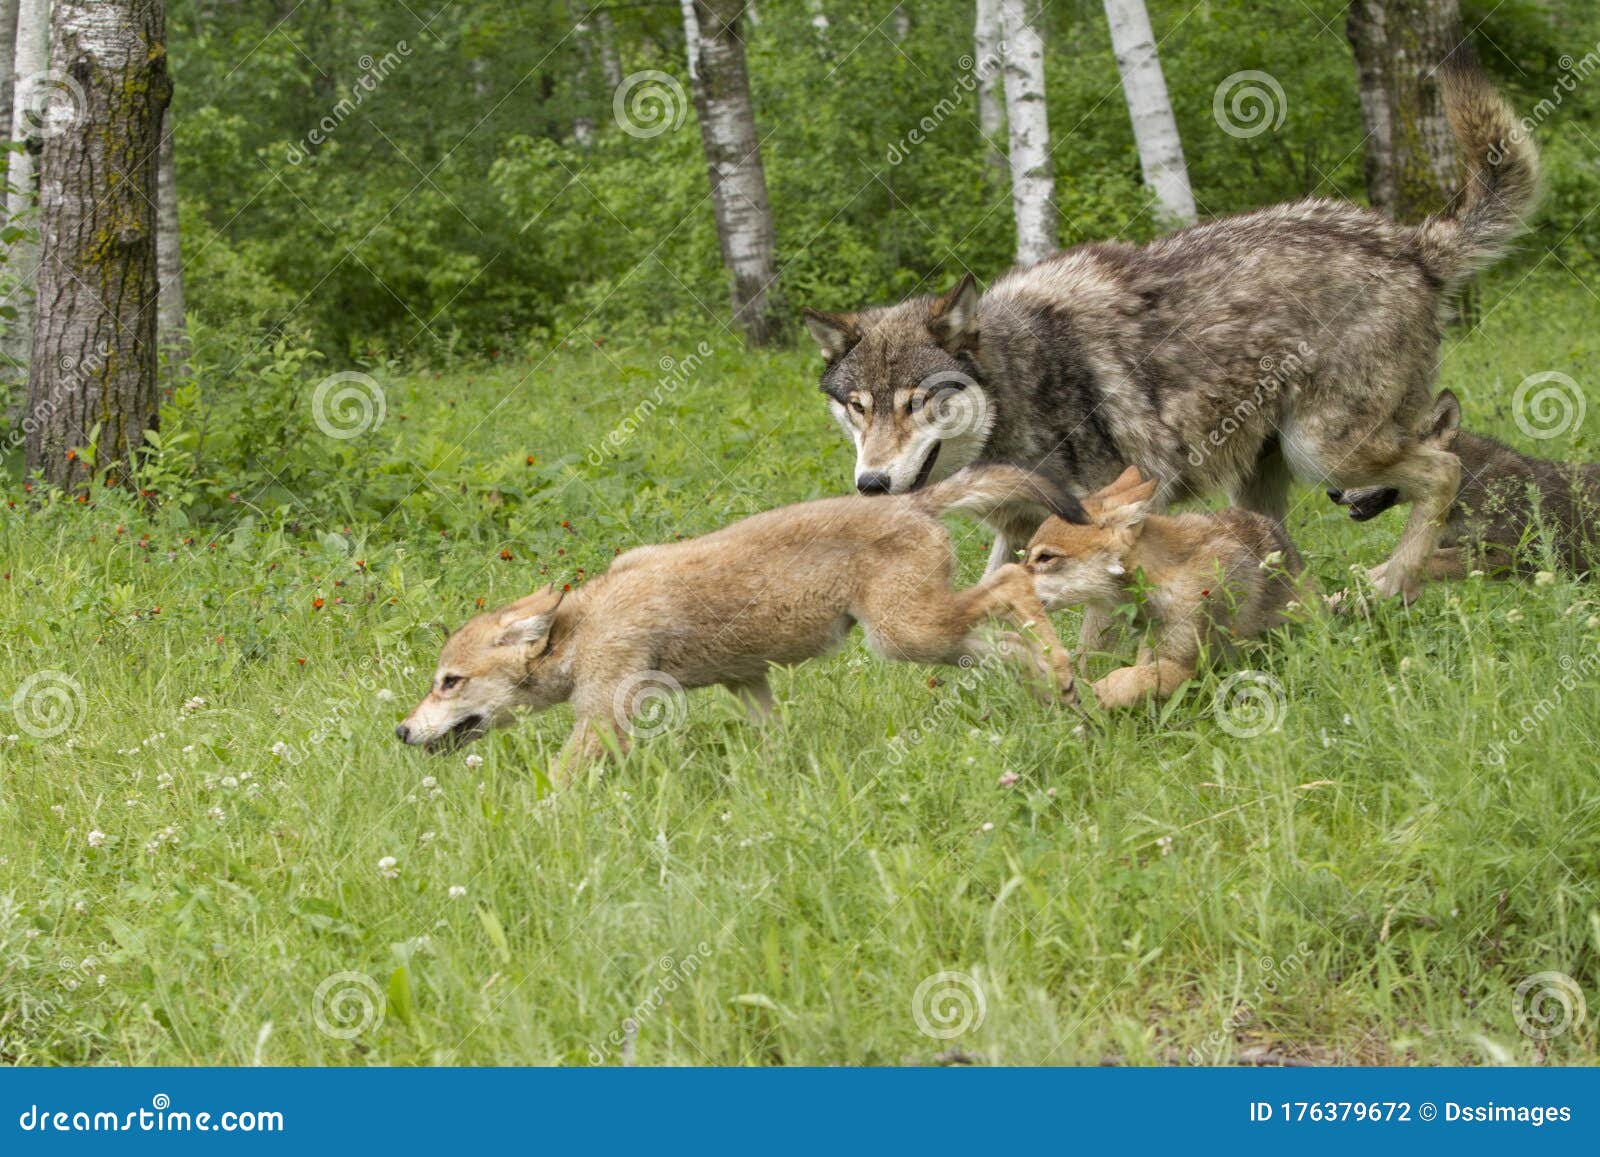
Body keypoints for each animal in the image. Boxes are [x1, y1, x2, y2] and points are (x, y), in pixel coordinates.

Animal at [396, 465, 1084, 777]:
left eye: (449, 682)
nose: (400, 732)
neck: (585, 626)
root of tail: (917, 502)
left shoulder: (602, 717)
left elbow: (556, 785)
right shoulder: (748, 683)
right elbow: (774, 743)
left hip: (907, 633)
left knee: (1015, 584)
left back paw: (1061, 670)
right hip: (930, 640)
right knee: (1009, 640)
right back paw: (1058, 692)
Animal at [802, 50, 1537, 604]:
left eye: (917, 402)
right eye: (859, 407)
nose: (870, 485)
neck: (1017, 386)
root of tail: (1406, 244)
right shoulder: (1017, 532)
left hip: (1323, 453)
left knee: (1443, 467)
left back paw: (1389, 583)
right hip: (1270, 474)